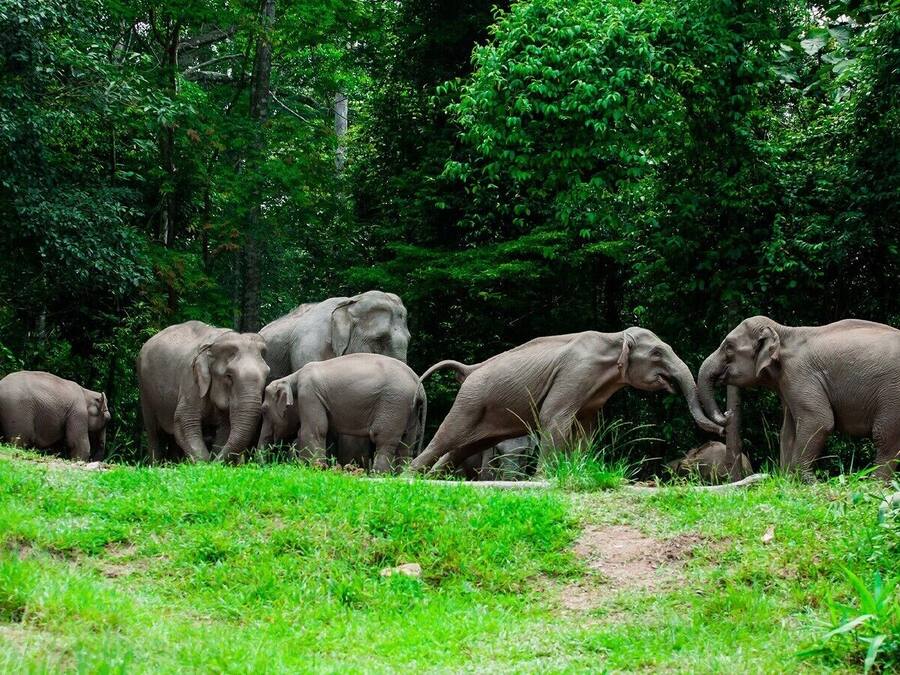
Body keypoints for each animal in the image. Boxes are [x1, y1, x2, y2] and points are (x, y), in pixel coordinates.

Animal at [137, 321, 269, 463]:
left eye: (267, 374)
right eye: (229, 376)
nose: (216, 461)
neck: (212, 347)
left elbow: (224, 428)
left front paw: (215, 459)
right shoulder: (191, 382)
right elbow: (184, 421)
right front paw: (206, 463)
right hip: (145, 390)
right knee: (154, 432)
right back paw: (155, 463)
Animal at [257, 353, 426, 473]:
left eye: (264, 410)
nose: (260, 466)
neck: (293, 377)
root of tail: (418, 384)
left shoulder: (309, 394)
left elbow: (314, 430)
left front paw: (314, 469)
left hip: (394, 403)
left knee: (384, 439)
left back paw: (379, 474)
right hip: (409, 410)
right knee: (407, 443)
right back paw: (400, 475)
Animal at [410, 328, 723, 473]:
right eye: (657, 353)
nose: (724, 422)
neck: (614, 338)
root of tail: (469, 369)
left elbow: (586, 428)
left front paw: (578, 467)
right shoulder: (575, 373)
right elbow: (554, 418)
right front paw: (544, 479)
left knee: (460, 449)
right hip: (470, 402)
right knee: (446, 438)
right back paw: (407, 477)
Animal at [698, 316, 900, 480]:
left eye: (728, 347)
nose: (728, 413)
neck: (784, 332)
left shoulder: (799, 374)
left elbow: (819, 421)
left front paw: (807, 482)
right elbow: (787, 431)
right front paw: (788, 481)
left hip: (893, 393)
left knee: (885, 437)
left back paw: (875, 484)